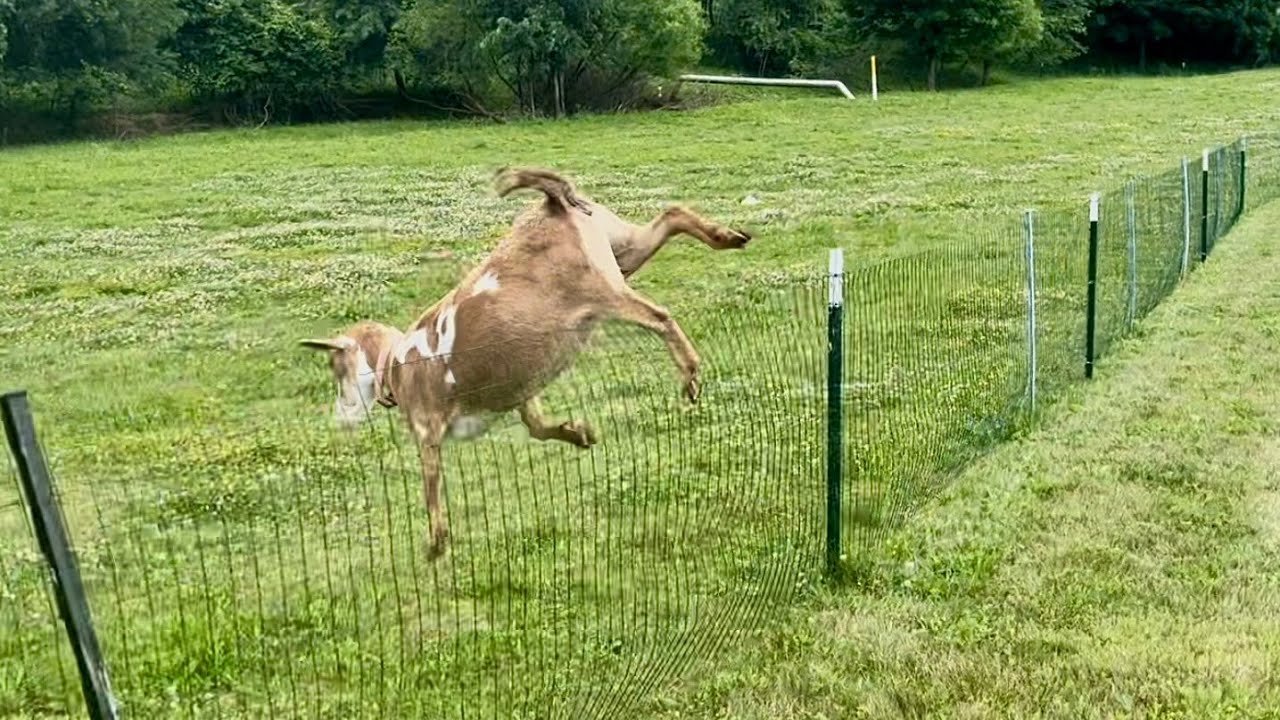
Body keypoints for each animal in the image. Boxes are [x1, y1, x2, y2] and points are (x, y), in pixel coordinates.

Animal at [301, 167, 751, 559]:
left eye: (335, 370)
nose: (339, 419)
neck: (397, 362)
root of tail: (552, 204)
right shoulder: (521, 391)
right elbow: (536, 427)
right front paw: (579, 433)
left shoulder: (428, 431)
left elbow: (431, 490)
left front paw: (436, 546)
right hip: (621, 250)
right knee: (670, 216)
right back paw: (727, 236)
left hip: (602, 292)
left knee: (660, 318)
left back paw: (690, 372)